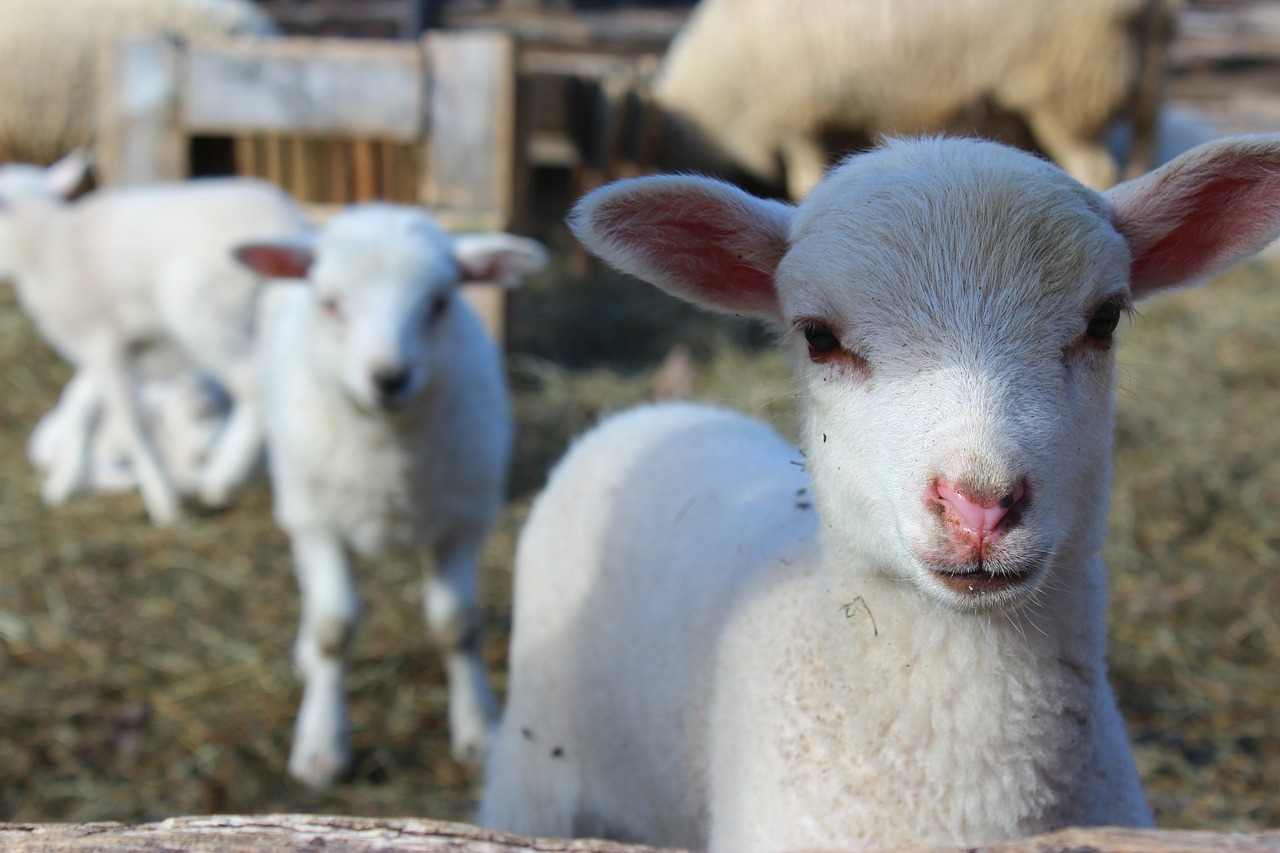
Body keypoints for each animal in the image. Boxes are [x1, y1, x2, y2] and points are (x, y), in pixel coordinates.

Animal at [0, 151, 308, 524]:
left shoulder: (100, 337)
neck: (46, 244)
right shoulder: (121, 344)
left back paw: (221, 480)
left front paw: (163, 500)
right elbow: (82, 403)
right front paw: (64, 483)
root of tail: (293, 226)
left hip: (205, 311)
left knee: (252, 385)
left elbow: (125, 418)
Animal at [233, 203, 547, 788]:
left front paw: (478, 728)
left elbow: (456, 626)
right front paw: (321, 744)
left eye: (440, 302)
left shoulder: (463, 520)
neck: (387, 455)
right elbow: (334, 628)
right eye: (330, 302)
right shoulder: (319, 523)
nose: (389, 378)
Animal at [653, 0, 1178, 199]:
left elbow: (805, 183)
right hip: (1143, 79)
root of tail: (1153, 10)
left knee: (1095, 170)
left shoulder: (798, 117)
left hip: (1065, 86)